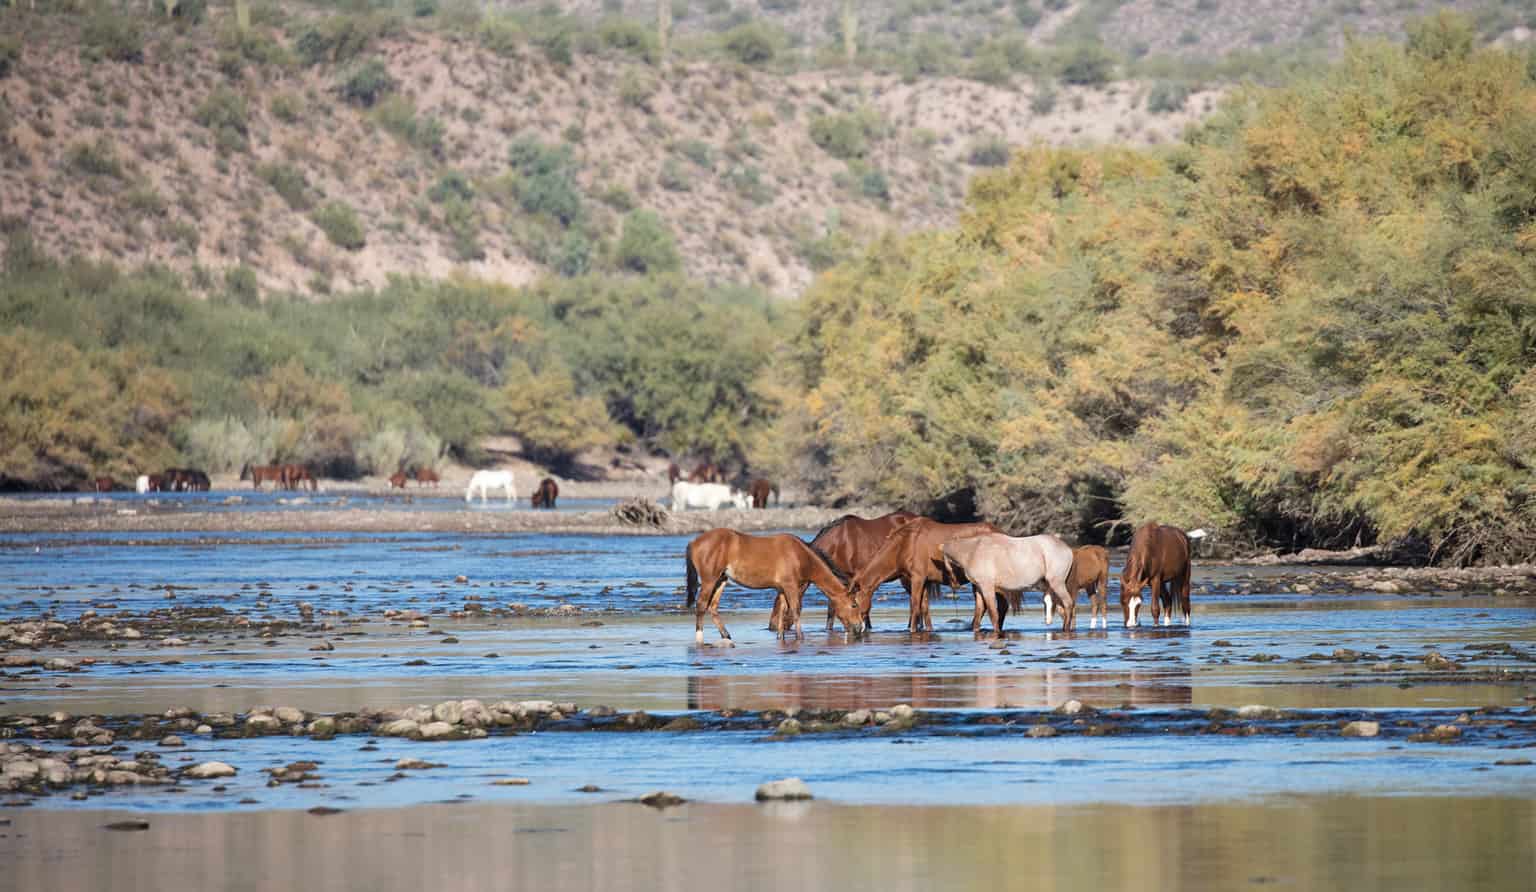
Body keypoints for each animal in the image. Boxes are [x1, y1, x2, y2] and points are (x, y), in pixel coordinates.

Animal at [684, 528, 864, 643]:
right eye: (854, 605)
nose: (859, 628)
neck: (800, 556)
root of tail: (694, 542)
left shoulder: (782, 589)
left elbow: (783, 612)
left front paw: (780, 638)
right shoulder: (791, 587)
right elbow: (795, 611)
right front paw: (800, 638)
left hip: (721, 580)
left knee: (712, 607)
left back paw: (726, 636)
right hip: (710, 580)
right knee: (701, 605)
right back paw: (699, 639)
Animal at [846, 518, 1001, 632]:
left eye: (854, 604)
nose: (856, 627)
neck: (902, 547)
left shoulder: (917, 577)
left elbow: (915, 606)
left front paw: (912, 630)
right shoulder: (926, 580)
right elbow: (925, 608)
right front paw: (929, 629)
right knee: (983, 606)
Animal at [941, 533, 1077, 635]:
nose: (955, 585)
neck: (972, 550)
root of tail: (1068, 549)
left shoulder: (987, 587)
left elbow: (993, 614)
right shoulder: (979, 588)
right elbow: (978, 615)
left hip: (1057, 583)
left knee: (1068, 604)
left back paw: (1065, 630)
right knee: (1062, 607)